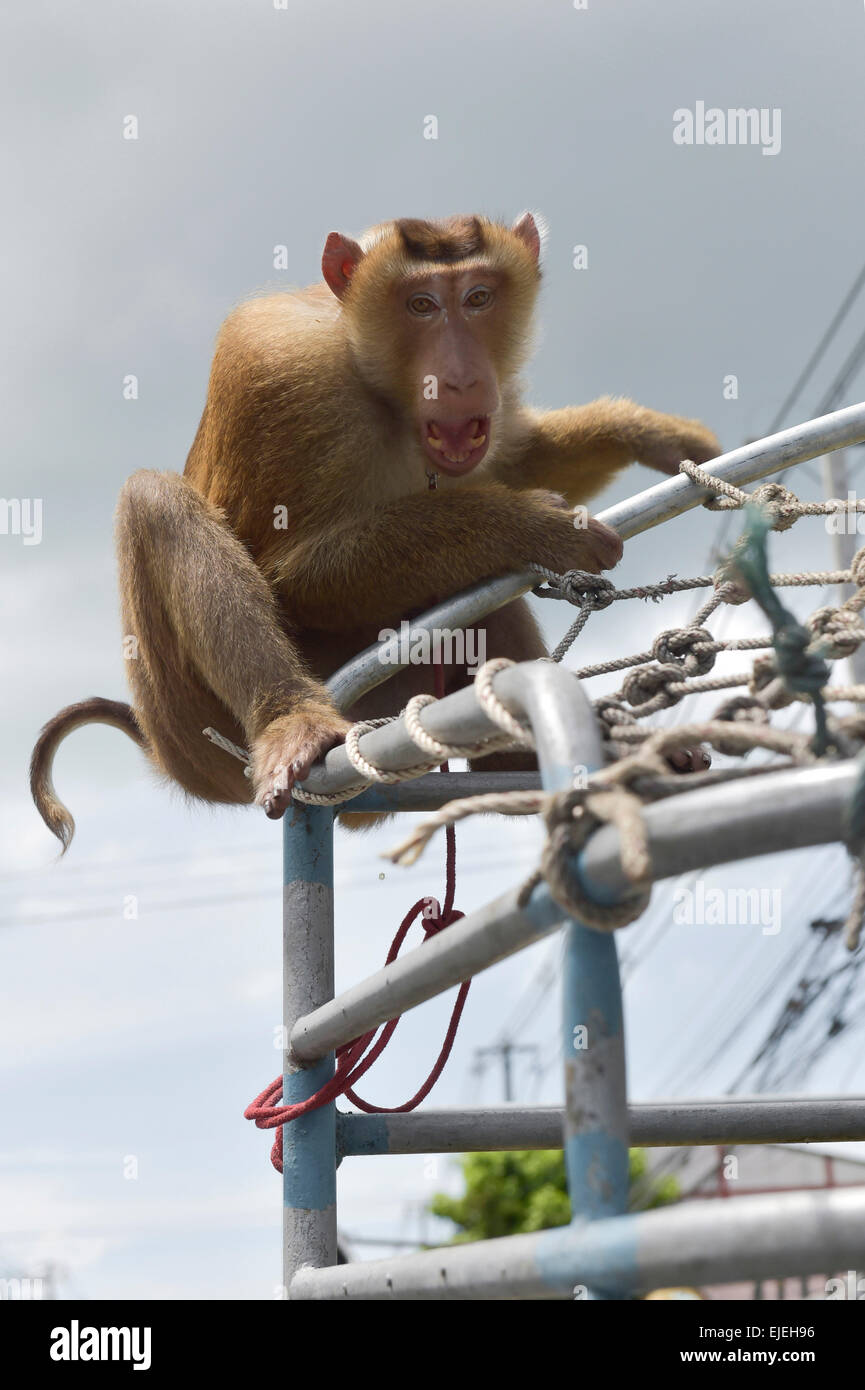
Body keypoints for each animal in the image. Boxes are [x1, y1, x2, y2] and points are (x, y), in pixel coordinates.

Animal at [30, 212, 719, 850]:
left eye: (478, 297)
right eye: (421, 304)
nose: (462, 376)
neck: (378, 385)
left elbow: (517, 458)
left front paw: (646, 431)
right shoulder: (282, 372)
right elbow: (292, 573)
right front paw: (532, 524)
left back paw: (527, 755)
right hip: (200, 730)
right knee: (152, 501)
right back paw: (292, 721)